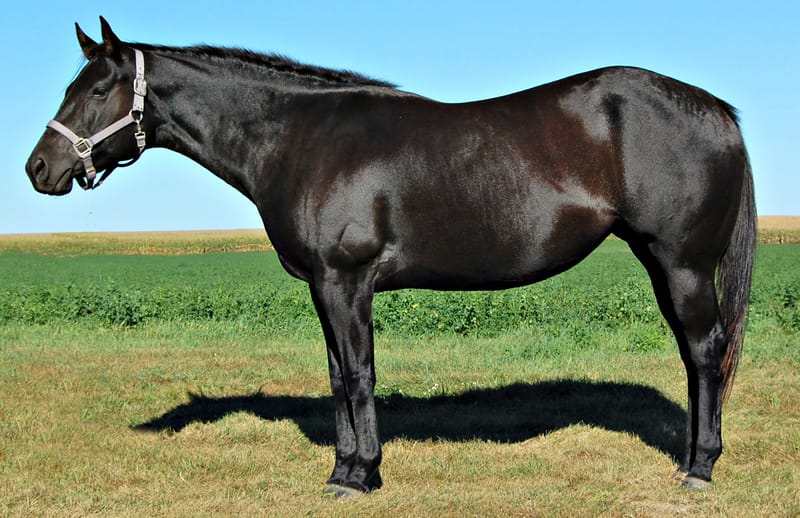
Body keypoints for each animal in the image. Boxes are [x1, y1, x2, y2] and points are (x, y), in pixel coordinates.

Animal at [26, 18, 755, 496]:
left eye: (97, 91)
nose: (39, 168)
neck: (298, 138)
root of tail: (716, 110)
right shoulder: (322, 287)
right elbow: (335, 377)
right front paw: (344, 468)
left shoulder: (345, 281)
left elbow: (357, 375)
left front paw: (361, 476)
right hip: (663, 264)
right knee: (695, 357)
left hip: (683, 263)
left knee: (705, 352)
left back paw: (700, 468)